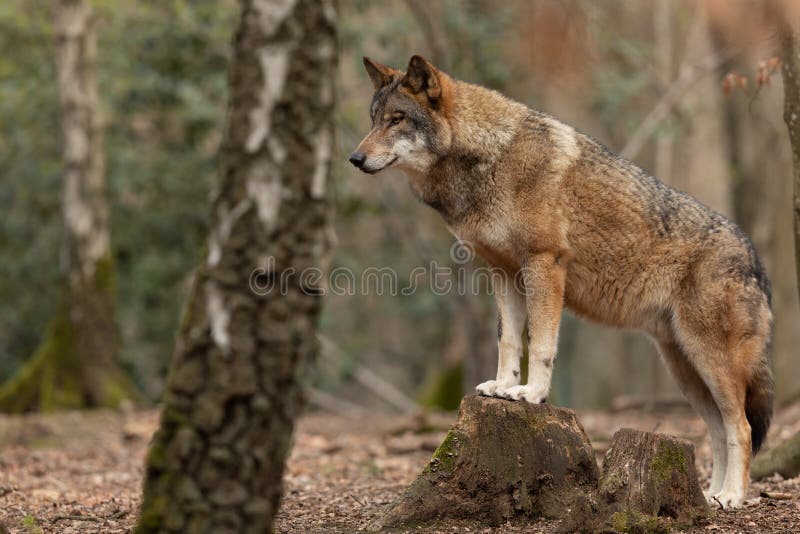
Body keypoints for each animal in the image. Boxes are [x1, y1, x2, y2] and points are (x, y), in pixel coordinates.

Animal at [349, 55, 773, 509]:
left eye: (397, 119)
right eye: (373, 119)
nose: (354, 158)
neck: (489, 157)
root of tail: (755, 260)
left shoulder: (543, 264)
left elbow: (541, 344)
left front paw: (532, 395)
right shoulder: (503, 273)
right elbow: (509, 342)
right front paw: (502, 387)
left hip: (708, 361)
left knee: (741, 428)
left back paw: (732, 497)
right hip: (685, 370)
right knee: (717, 430)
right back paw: (710, 497)